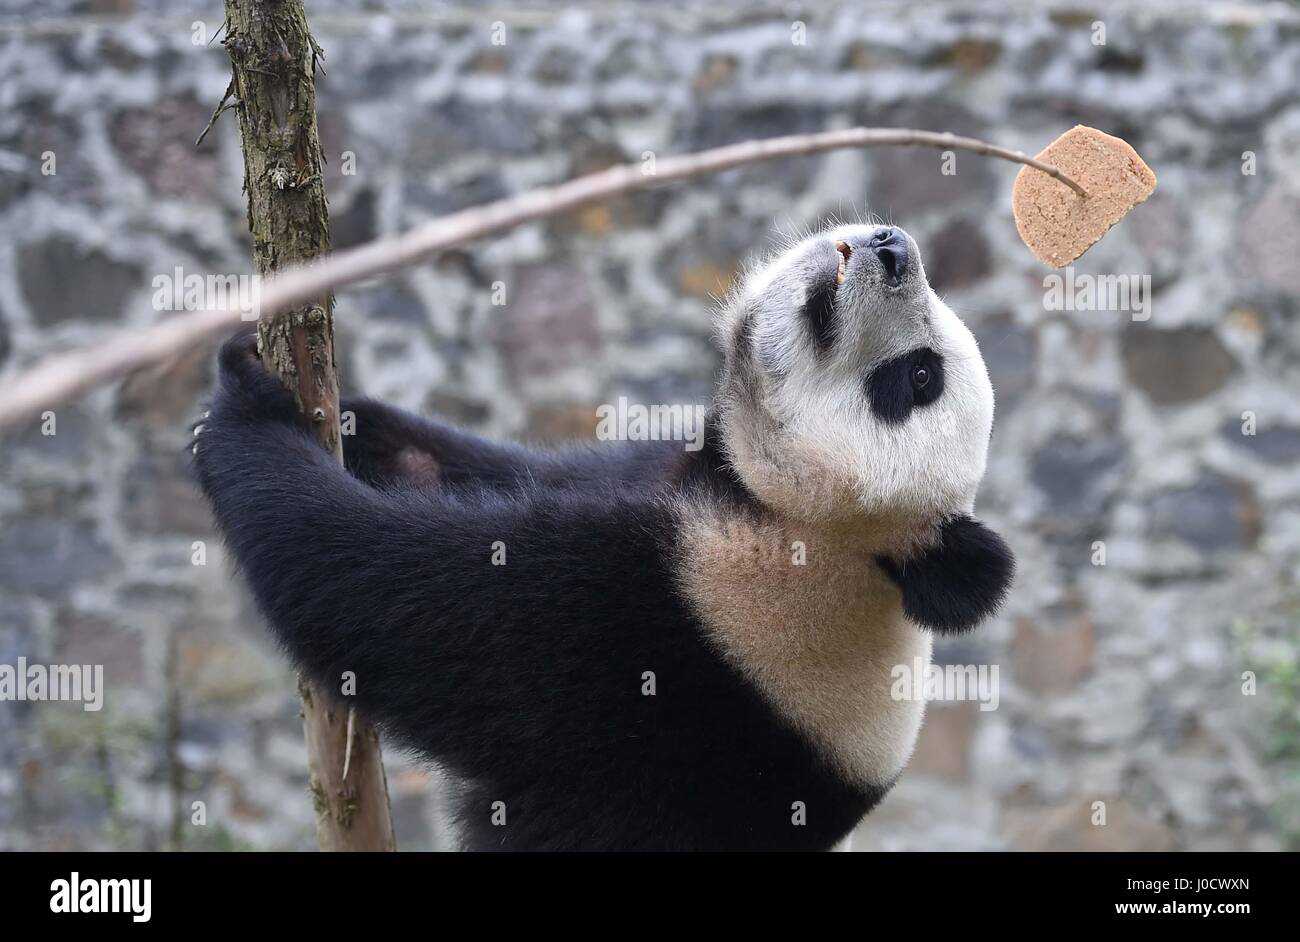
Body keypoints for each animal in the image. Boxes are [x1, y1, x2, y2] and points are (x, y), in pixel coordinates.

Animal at [192, 223, 1014, 851]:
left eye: (919, 378)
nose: (893, 247)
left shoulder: (695, 628)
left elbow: (388, 594)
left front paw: (242, 413)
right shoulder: (655, 477)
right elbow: (488, 474)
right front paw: (351, 417)